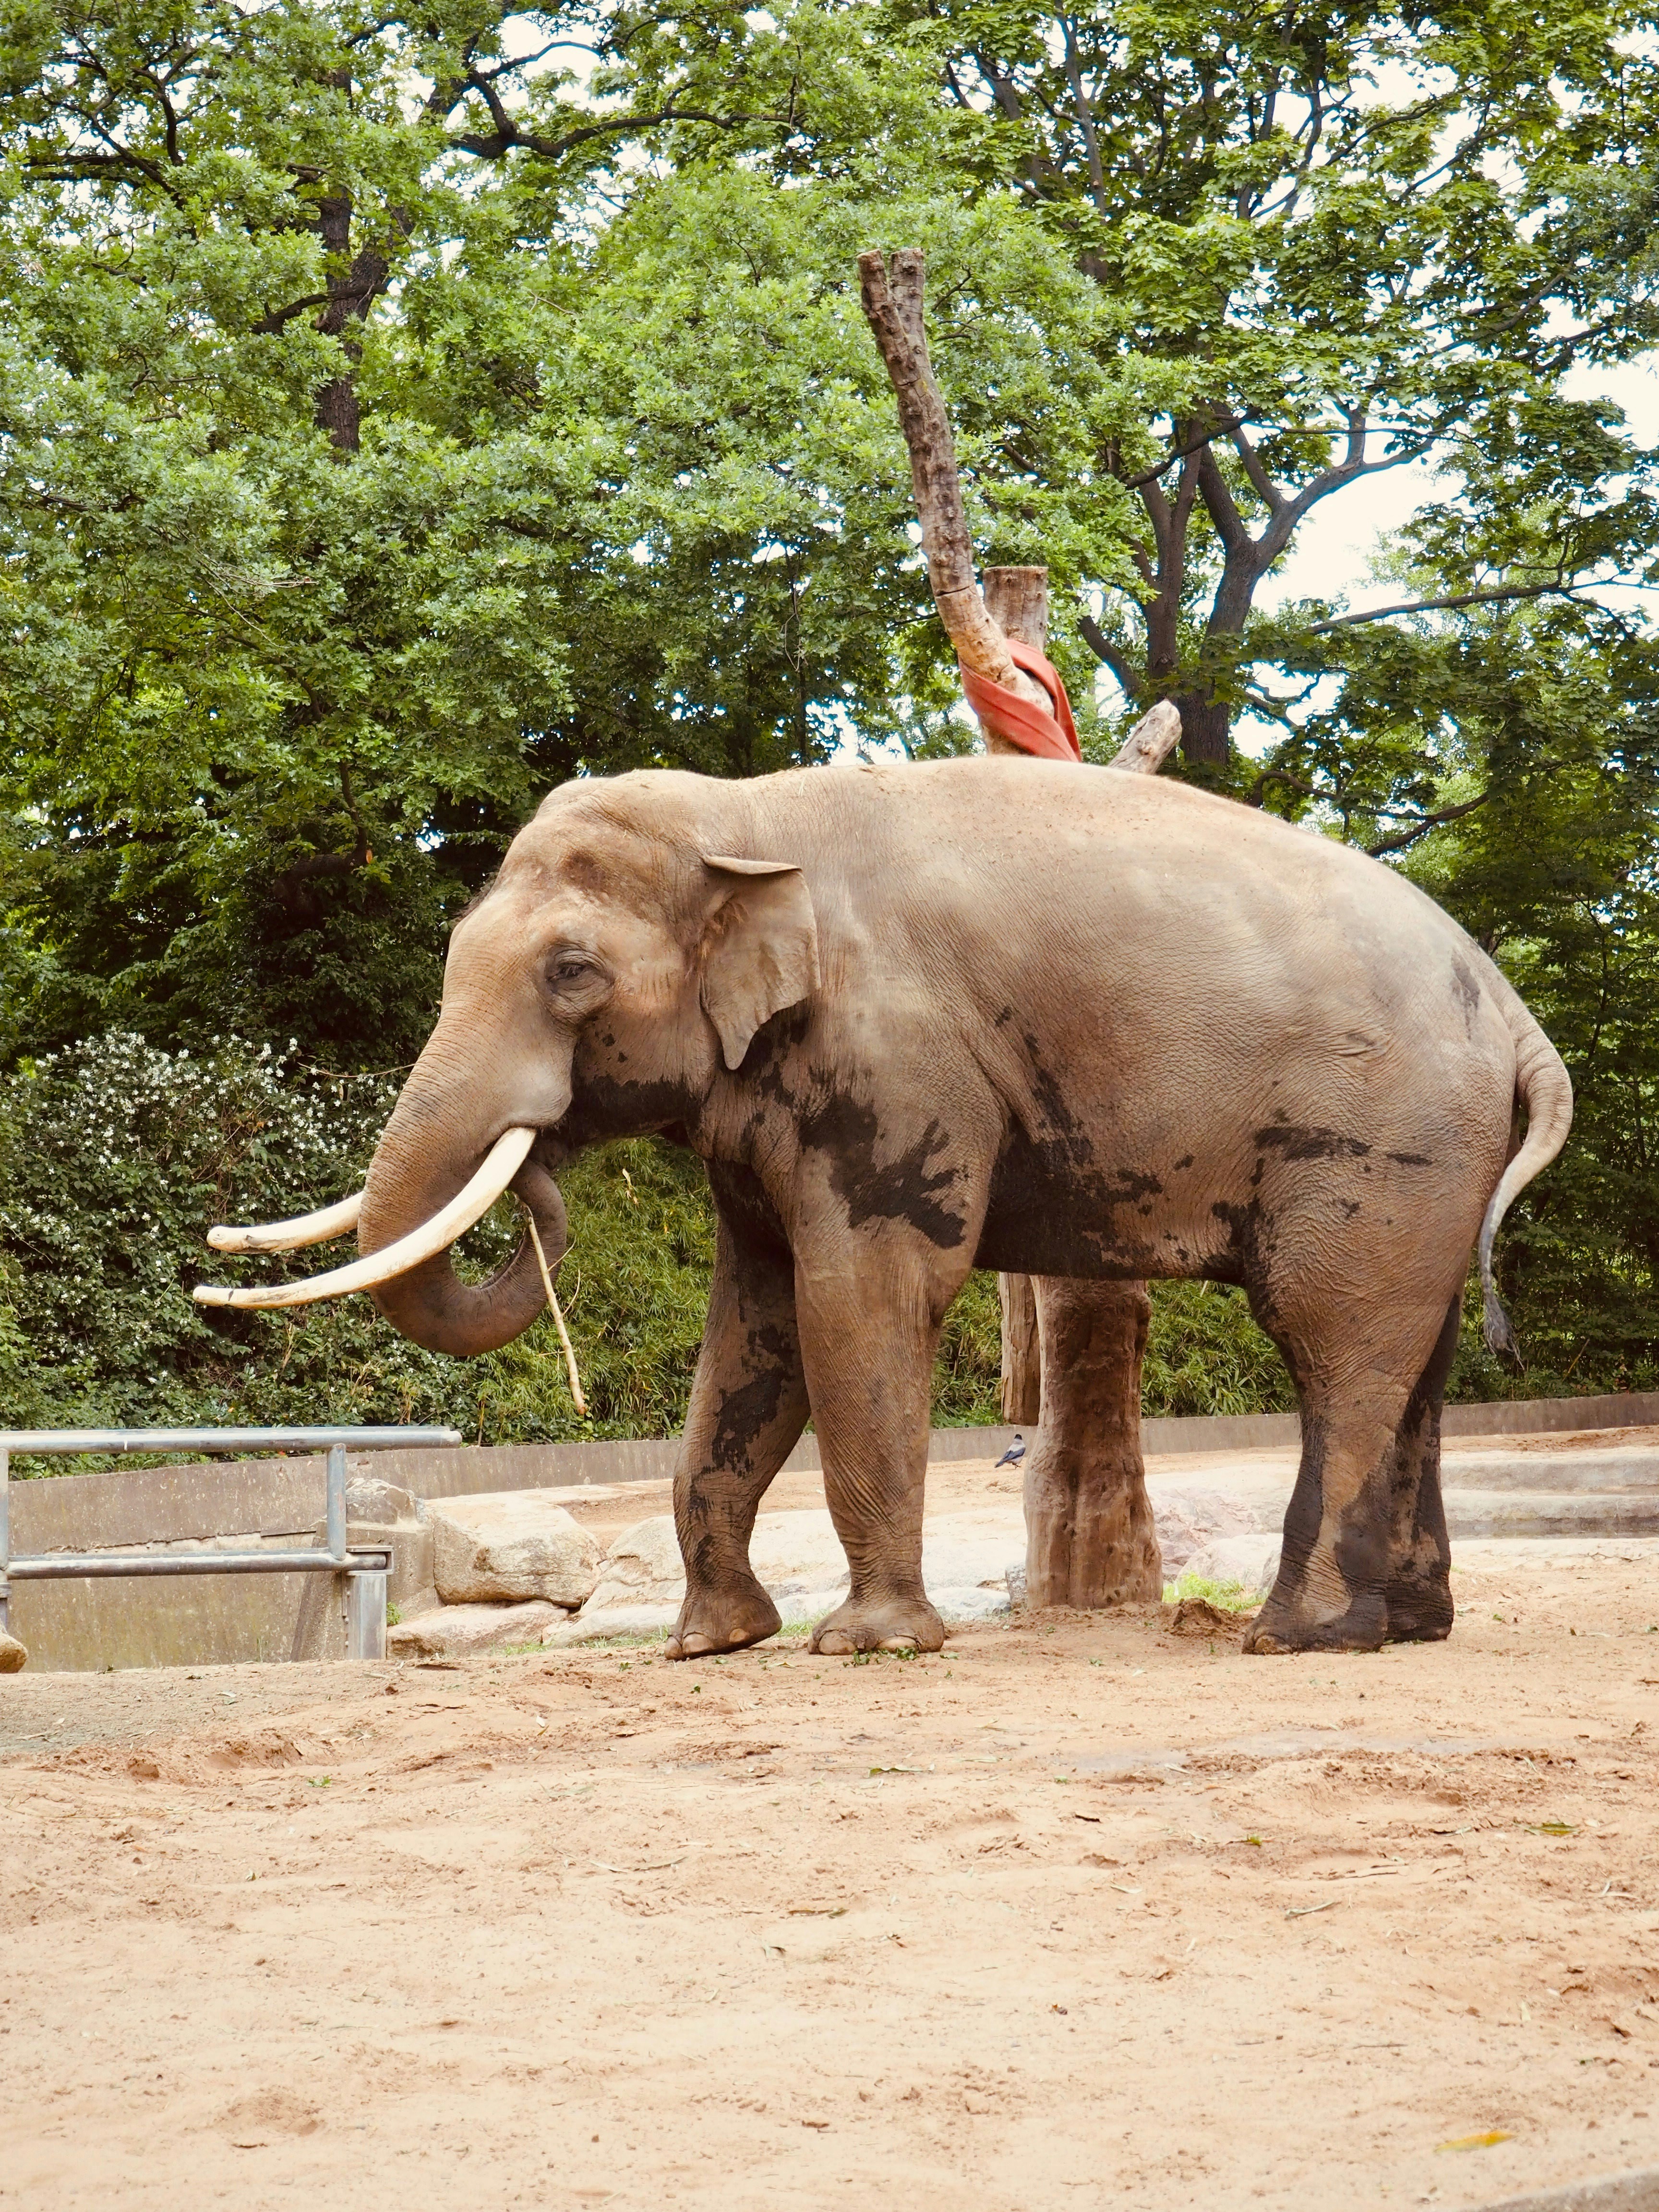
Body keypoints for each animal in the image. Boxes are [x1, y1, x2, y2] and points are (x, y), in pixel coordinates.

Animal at [199, 755, 1571, 1658]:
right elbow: (750, 1329)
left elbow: (860, 1296)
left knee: (1333, 1343)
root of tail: (1513, 1013)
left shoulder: (898, 1068)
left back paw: (1292, 1639)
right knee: (1418, 1357)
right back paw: (1407, 1628)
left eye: (571, 972)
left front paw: (869, 1647)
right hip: (1430, 1163)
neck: (747, 815)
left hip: (1376, 1145)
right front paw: (714, 1646)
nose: (538, 1164)